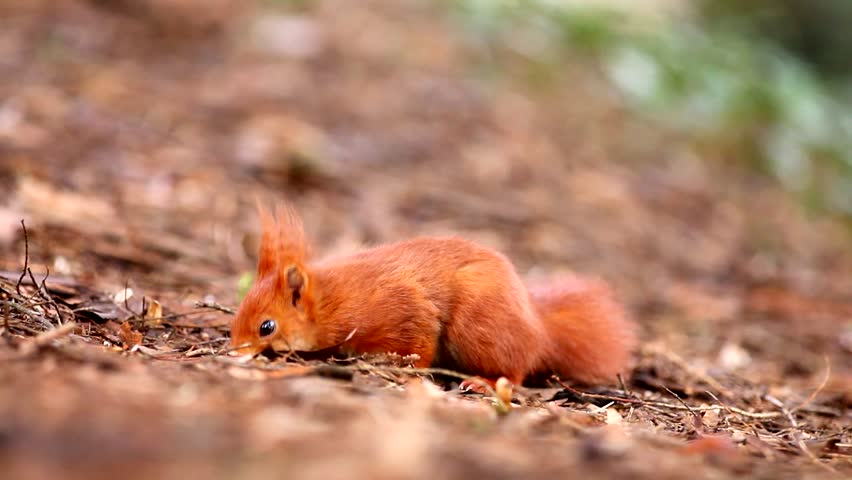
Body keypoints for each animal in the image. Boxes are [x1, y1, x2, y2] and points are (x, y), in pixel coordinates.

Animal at [230, 205, 637, 389]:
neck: (330, 301)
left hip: (480, 328)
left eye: (267, 327)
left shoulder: (402, 307)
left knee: (516, 369)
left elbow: (419, 343)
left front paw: (406, 367)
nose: (234, 353)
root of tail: (537, 328)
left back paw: (485, 382)